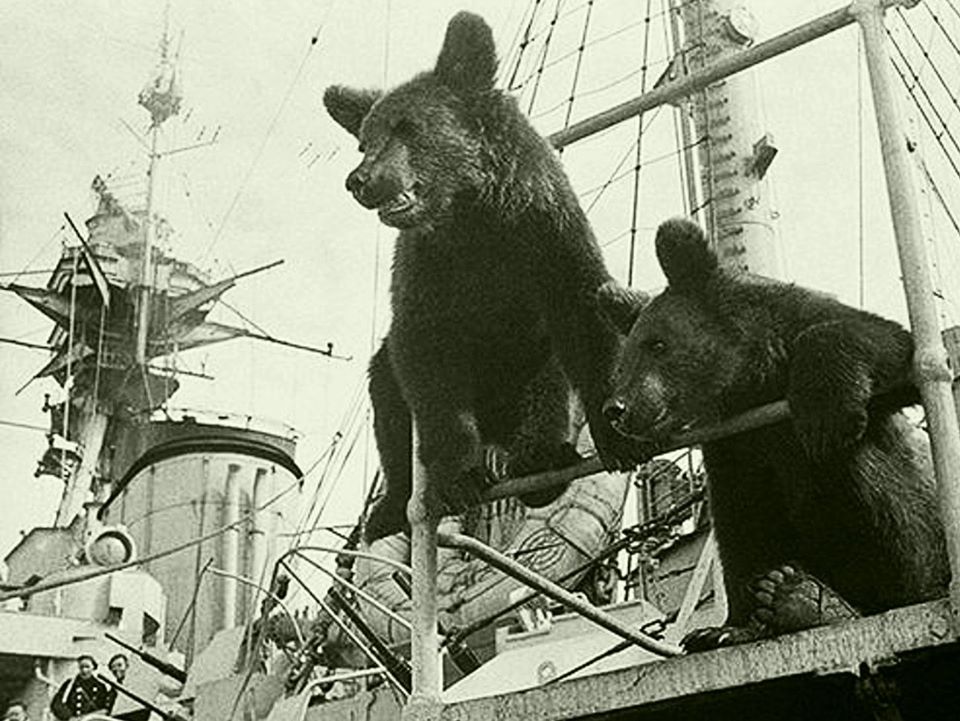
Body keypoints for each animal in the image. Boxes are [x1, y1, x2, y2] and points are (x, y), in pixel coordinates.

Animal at [324, 12, 636, 542]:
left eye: (408, 127)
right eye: (364, 139)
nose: (359, 180)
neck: (473, 213)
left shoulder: (544, 232)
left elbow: (585, 317)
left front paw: (614, 430)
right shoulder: (429, 269)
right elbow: (426, 365)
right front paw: (459, 476)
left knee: (546, 389)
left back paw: (540, 461)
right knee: (387, 395)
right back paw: (393, 506)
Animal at [598, 217, 948, 650]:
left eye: (657, 344)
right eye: (623, 361)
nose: (616, 410)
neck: (751, 385)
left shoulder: (805, 327)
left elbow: (893, 346)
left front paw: (825, 406)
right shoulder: (734, 447)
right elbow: (742, 525)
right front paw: (725, 627)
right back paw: (796, 597)